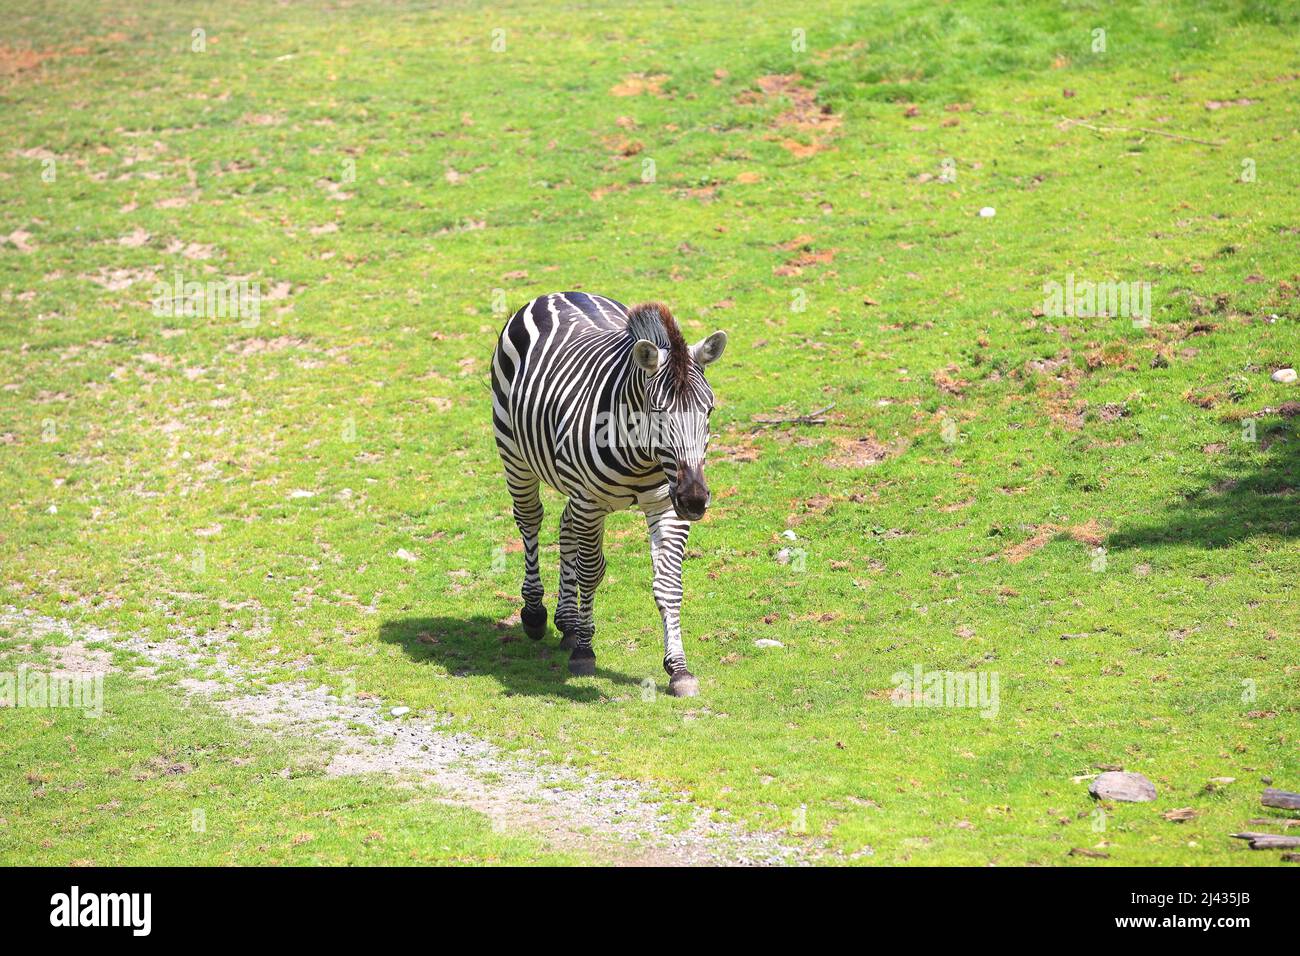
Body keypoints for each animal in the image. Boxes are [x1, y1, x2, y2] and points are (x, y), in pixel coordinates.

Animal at [490, 292, 727, 697]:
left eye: (708, 410)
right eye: (658, 411)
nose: (695, 501)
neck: (643, 456)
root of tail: (560, 293)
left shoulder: (666, 505)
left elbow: (669, 586)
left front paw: (678, 669)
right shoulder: (590, 501)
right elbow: (590, 573)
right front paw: (585, 653)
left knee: (564, 525)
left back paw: (567, 621)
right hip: (514, 453)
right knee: (530, 519)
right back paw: (536, 614)